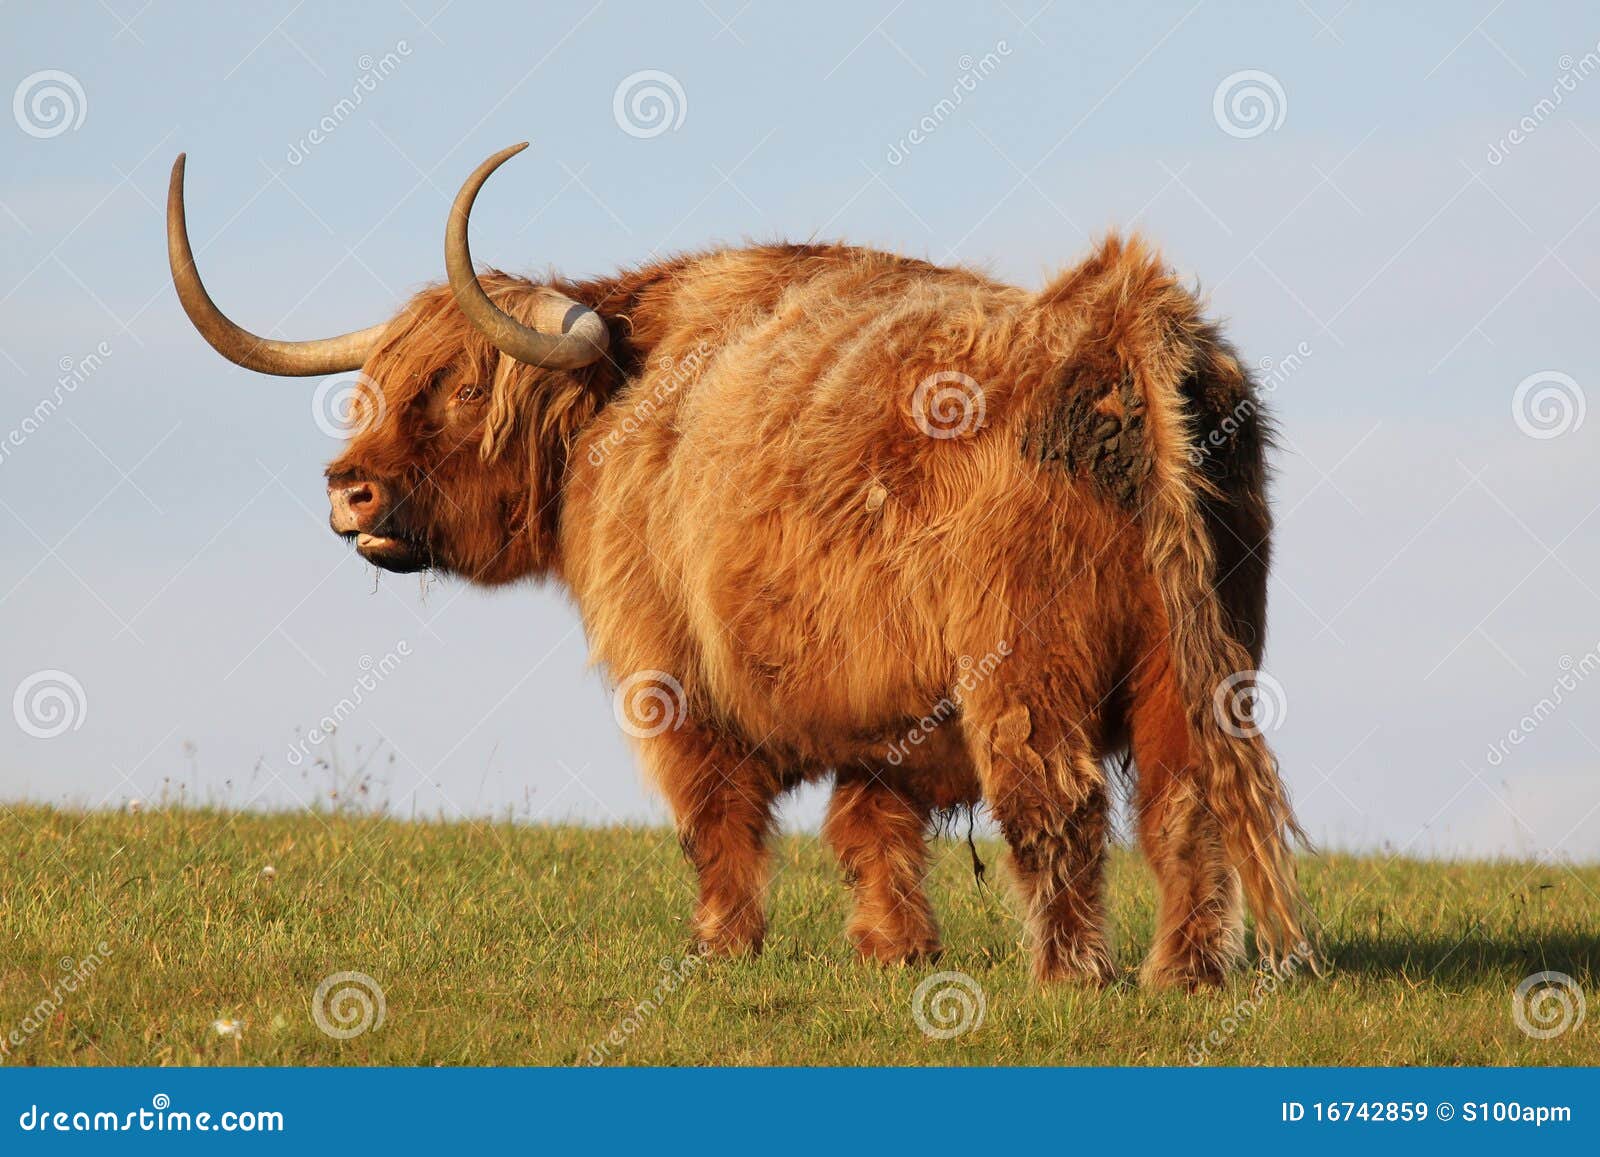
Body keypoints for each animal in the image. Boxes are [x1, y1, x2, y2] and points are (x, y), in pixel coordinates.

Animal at [167, 143, 1309, 988]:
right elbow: (869, 822)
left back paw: (1070, 974)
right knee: (1185, 802)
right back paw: (1181, 972)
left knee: (1060, 803)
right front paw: (893, 949)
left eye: (463, 388)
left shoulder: (669, 669)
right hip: (1193, 665)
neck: (617, 409)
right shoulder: (880, 703)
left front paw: (720, 946)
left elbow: (715, 814)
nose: (347, 489)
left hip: (1024, 672)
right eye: (375, 382)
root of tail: (1111, 322)